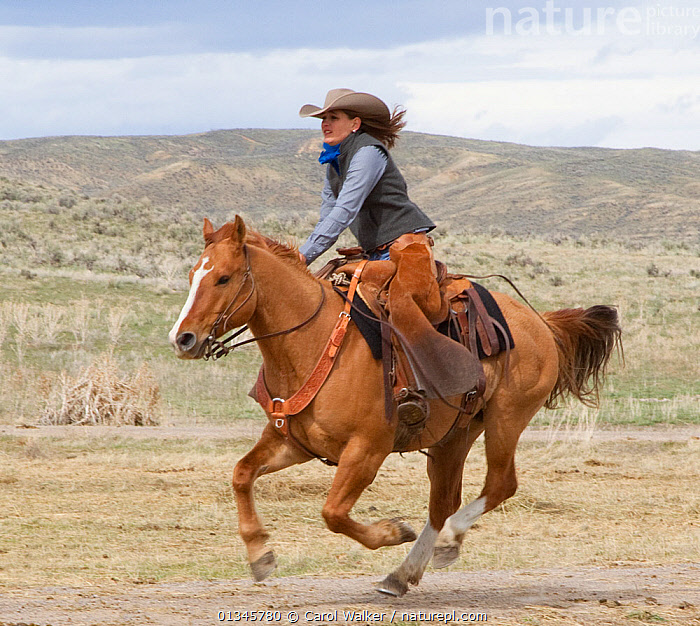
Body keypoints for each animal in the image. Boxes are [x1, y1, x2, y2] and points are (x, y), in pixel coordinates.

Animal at [169, 216, 621, 597]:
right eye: (193, 276)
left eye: (223, 278)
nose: (182, 338)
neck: (316, 341)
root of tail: (542, 323)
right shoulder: (295, 444)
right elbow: (242, 474)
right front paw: (260, 555)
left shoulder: (366, 451)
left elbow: (333, 512)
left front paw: (391, 531)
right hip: (455, 435)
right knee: (443, 503)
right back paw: (402, 574)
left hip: (505, 421)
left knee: (498, 485)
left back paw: (449, 539)